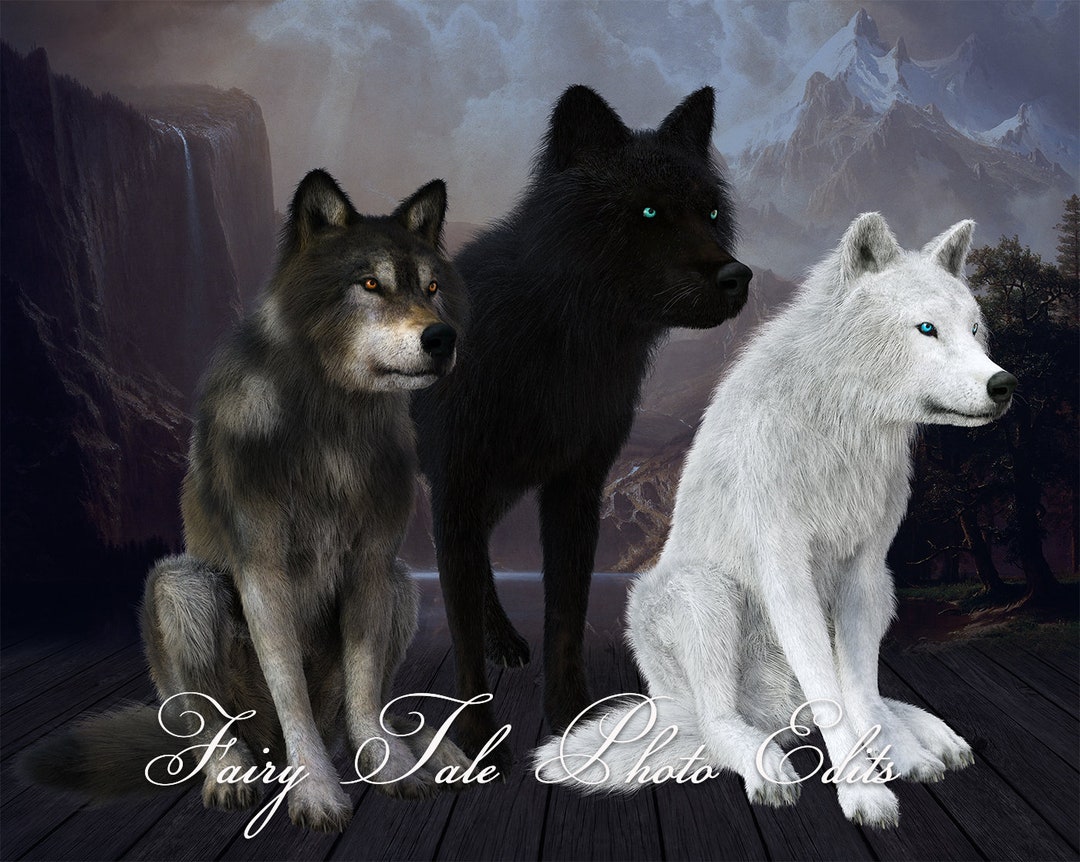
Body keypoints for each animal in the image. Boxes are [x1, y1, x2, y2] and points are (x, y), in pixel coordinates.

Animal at [21, 169, 470, 832]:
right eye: (370, 283)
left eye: (432, 288)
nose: (443, 337)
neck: (331, 429)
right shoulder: (262, 567)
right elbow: (290, 692)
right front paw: (316, 793)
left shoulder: (369, 565)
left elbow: (365, 693)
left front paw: (389, 767)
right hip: (182, 586)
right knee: (209, 727)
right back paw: (232, 772)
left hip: (400, 582)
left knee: (366, 709)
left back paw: (428, 749)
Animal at [411, 85, 751, 763]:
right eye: (648, 212)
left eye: (710, 214)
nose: (738, 277)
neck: (555, 350)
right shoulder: (456, 486)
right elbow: (460, 636)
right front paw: (477, 737)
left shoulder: (576, 488)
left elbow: (565, 614)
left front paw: (571, 717)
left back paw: (507, 640)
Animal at [533, 213, 1017, 827]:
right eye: (926, 329)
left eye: (976, 330)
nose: (1004, 386)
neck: (839, 434)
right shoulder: (786, 573)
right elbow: (832, 692)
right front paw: (863, 793)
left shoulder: (862, 571)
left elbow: (857, 689)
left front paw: (900, 754)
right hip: (705, 593)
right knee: (718, 724)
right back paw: (769, 768)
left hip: (882, 589)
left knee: (853, 697)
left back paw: (927, 736)